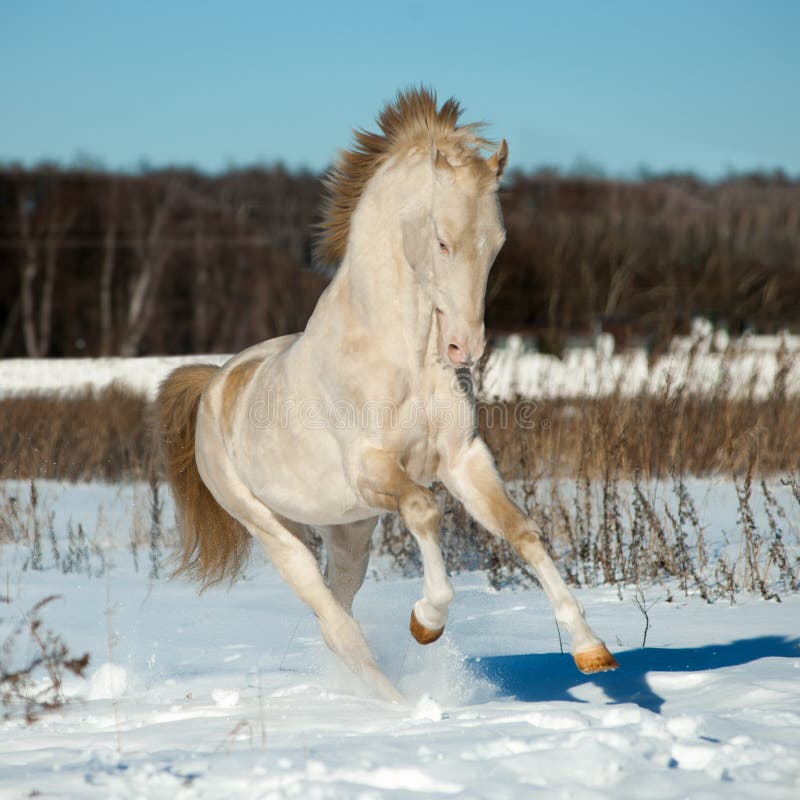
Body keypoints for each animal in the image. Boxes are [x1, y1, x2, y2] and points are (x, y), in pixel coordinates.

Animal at [157, 88, 618, 702]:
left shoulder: (464, 459)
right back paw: (401, 708)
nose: (464, 348)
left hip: (349, 530)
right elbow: (425, 511)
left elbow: (522, 531)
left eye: (497, 243)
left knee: (337, 615)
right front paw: (427, 620)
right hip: (273, 530)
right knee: (336, 624)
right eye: (442, 241)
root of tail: (215, 384)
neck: (405, 354)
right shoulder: (373, 470)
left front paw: (591, 648)